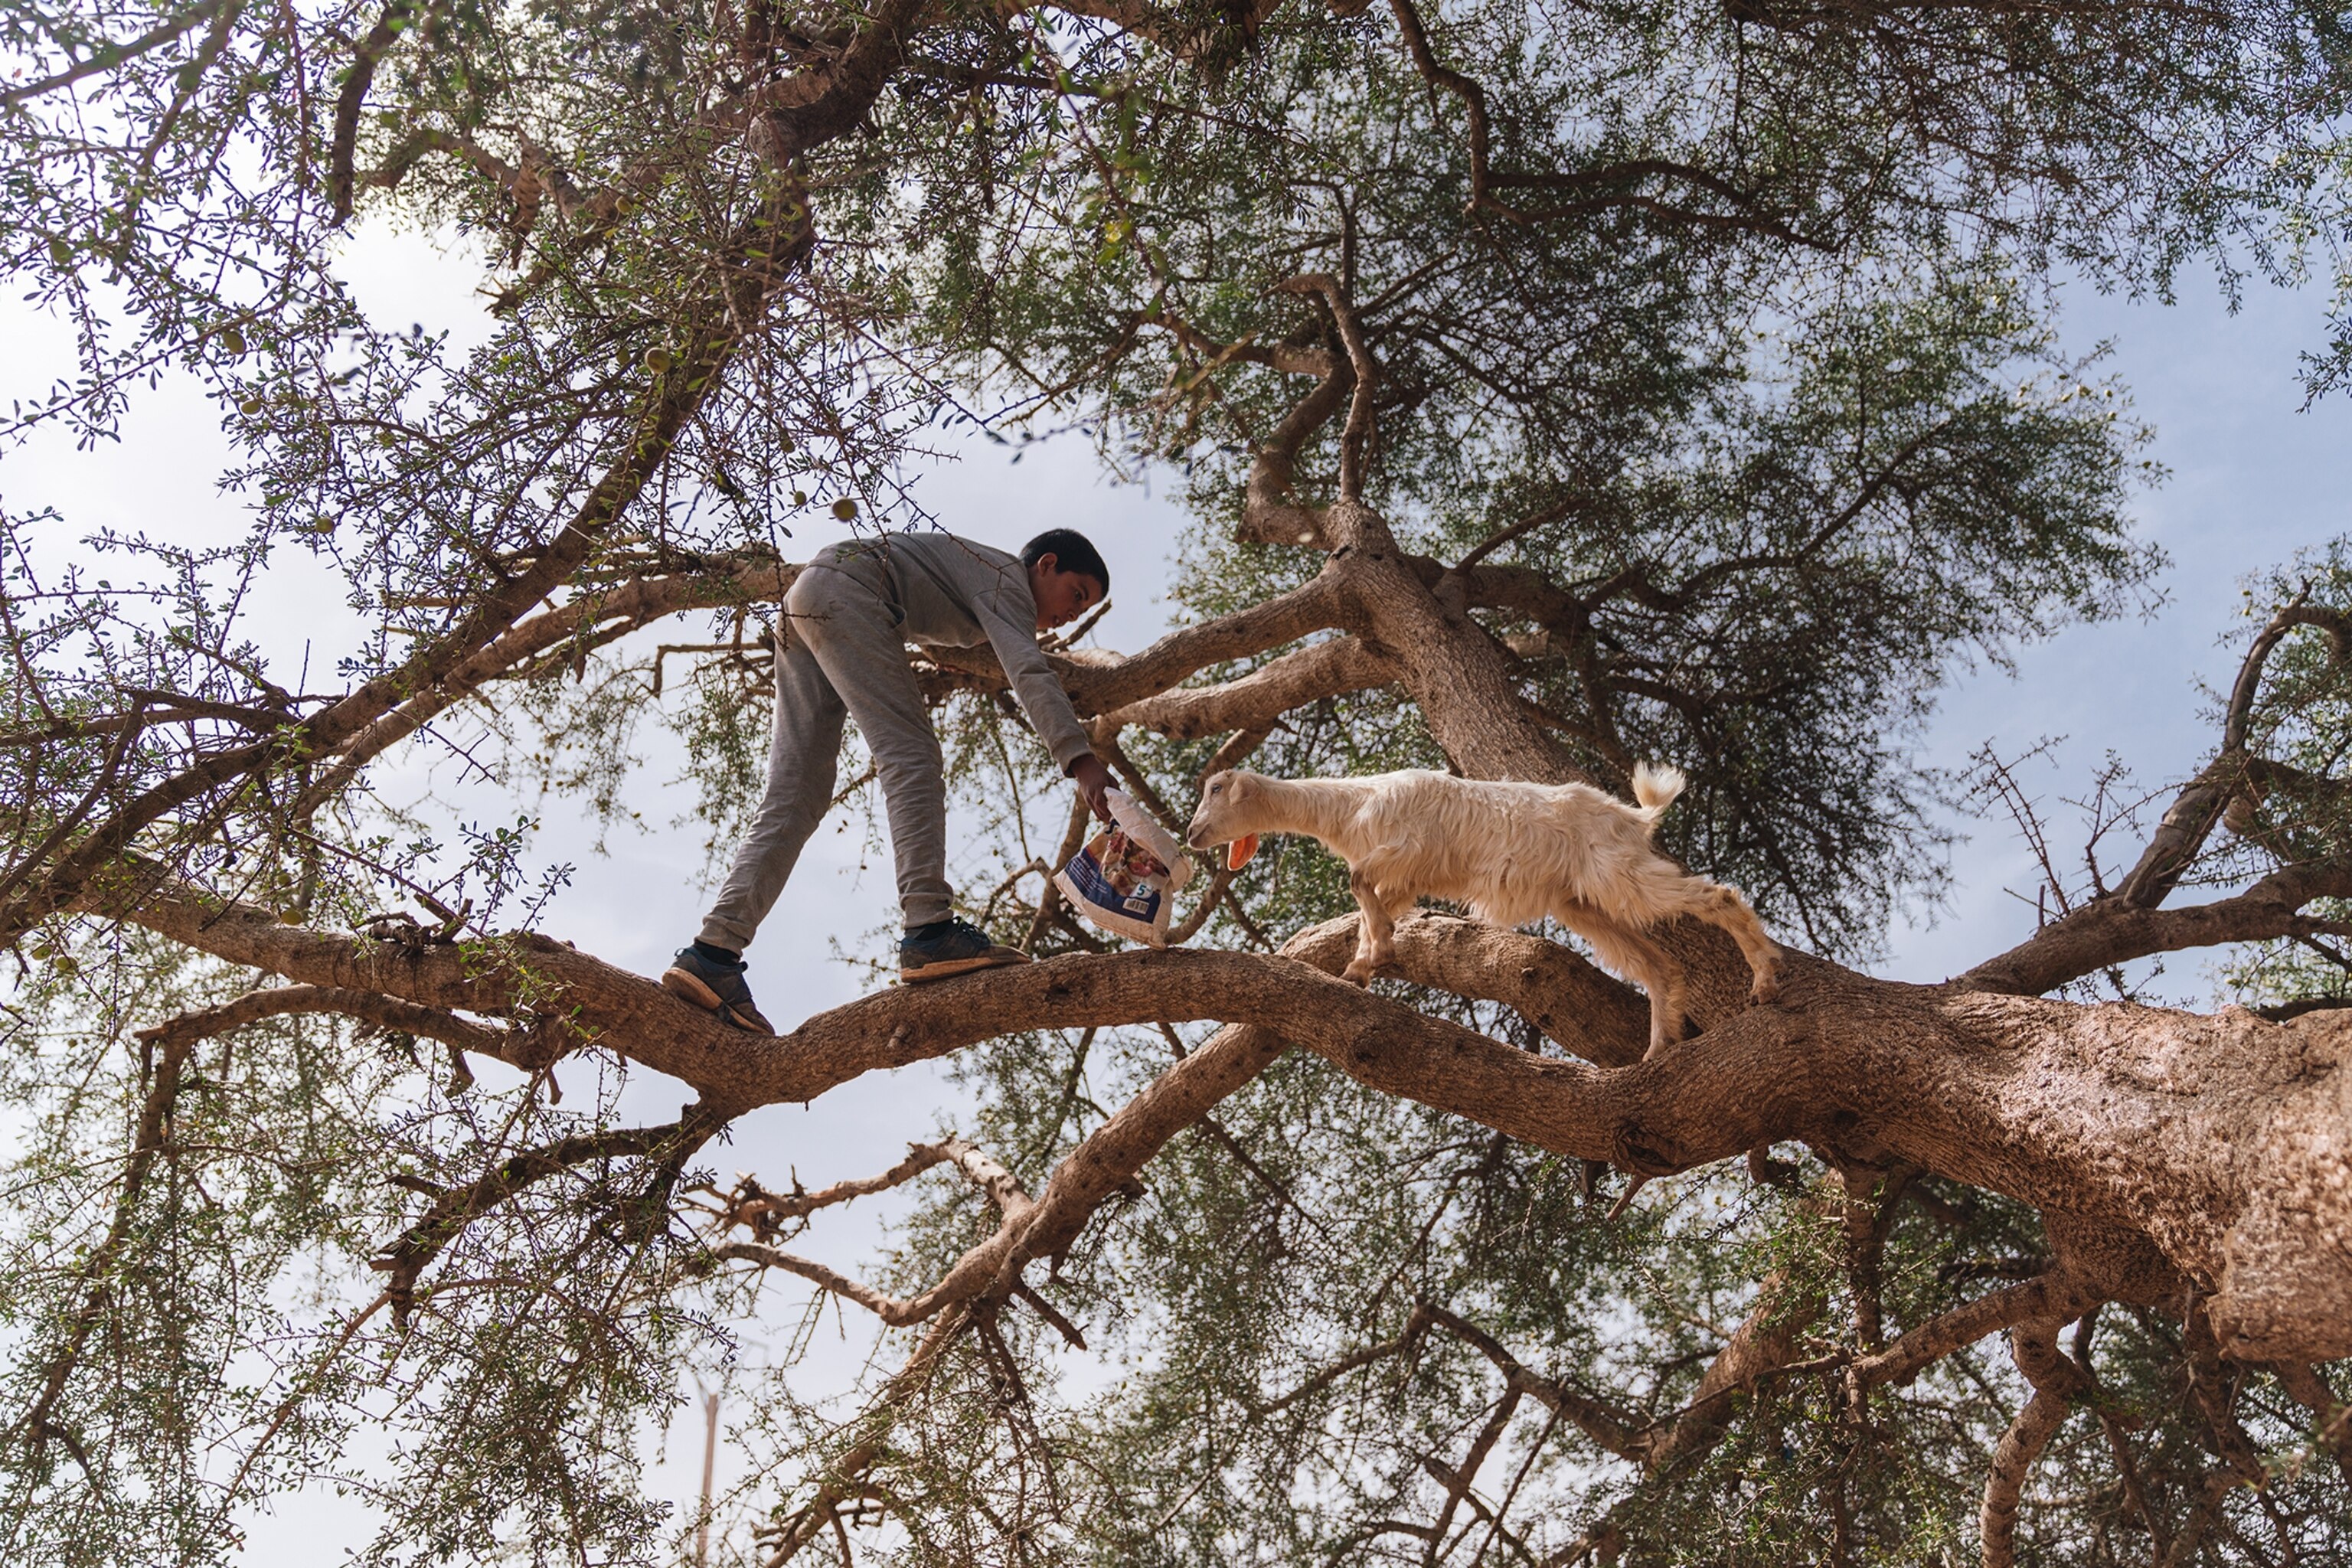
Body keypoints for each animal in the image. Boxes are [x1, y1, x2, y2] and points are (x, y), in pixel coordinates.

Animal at [1185, 765, 1782, 1058]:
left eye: (1216, 788)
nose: (1190, 834)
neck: (1352, 806)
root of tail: (1634, 817)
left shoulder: (1402, 850)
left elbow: (1356, 884)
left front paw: (1378, 953)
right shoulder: (1403, 878)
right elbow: (1366, 906)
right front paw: (1362, 966)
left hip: (1619, 874)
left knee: (1717, 897)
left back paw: (1764, 982)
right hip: (1583, 904)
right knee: (1659, 965)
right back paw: (1657, 1049)